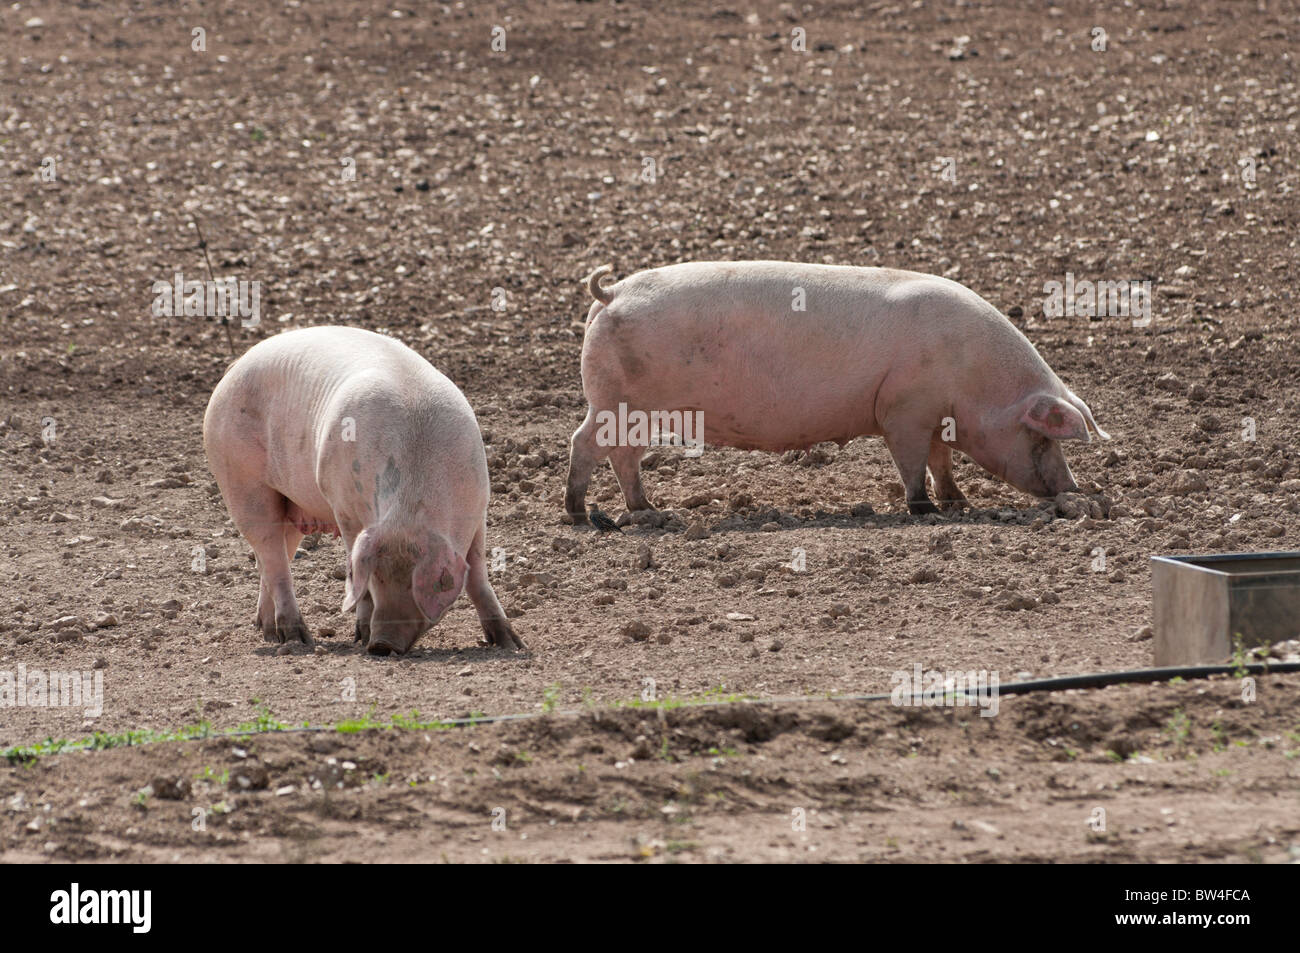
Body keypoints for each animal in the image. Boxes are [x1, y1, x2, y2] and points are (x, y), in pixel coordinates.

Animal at [203, 326, 525, 656]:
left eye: (419, 583)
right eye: (376, 578)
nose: (381, 645)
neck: (410, 507)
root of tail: (234, 367)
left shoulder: (479, 507)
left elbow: (478, 575)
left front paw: (512, 644)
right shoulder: (343, 505)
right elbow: (352, 563)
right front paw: (361, 635)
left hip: (289, 502)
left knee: (274, 558)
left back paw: (268, 632)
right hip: (240, 480)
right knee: (272, 558)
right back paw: (297, 639)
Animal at [565, 262, 1108, 522]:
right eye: (1040, 436)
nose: (1074, 489)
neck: (972, 376)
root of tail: (610, 294)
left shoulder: (932, 414)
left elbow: (941, 460)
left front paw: (959, 502)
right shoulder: (903, 410)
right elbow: (913, 463)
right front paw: (926, 510)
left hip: (631, 408)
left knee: (619, 454)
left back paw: (644, 510)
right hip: (619, 402)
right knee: (587, 444)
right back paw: (587, 514)